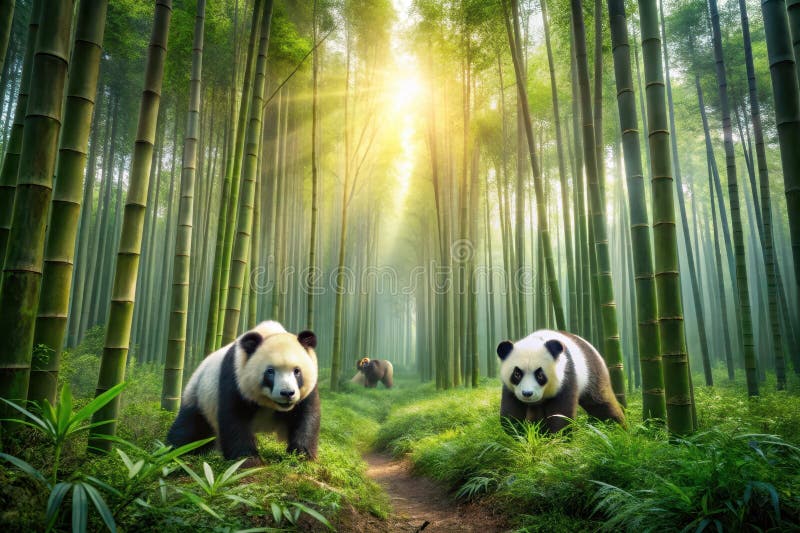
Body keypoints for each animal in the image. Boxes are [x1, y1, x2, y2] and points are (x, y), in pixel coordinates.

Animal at [167, 321, 320, 462]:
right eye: (270, 371)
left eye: (297, 371)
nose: (287, 393)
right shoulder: (235, 375)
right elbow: (234, 417)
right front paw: (247, 460)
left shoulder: (308, 390)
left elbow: (306, 416)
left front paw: (301, 456)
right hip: (199, 394)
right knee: (190, 427)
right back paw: (175, 451)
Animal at [497, 329, 625, 433]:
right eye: (517, 374)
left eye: (540, 375)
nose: (527, 393)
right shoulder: (510, 389)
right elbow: (512, 412)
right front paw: (519, 434)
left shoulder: (566, 377)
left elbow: (561, 413)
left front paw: (559, 439)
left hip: (591, 373)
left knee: (601, 403)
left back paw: (618, 428)